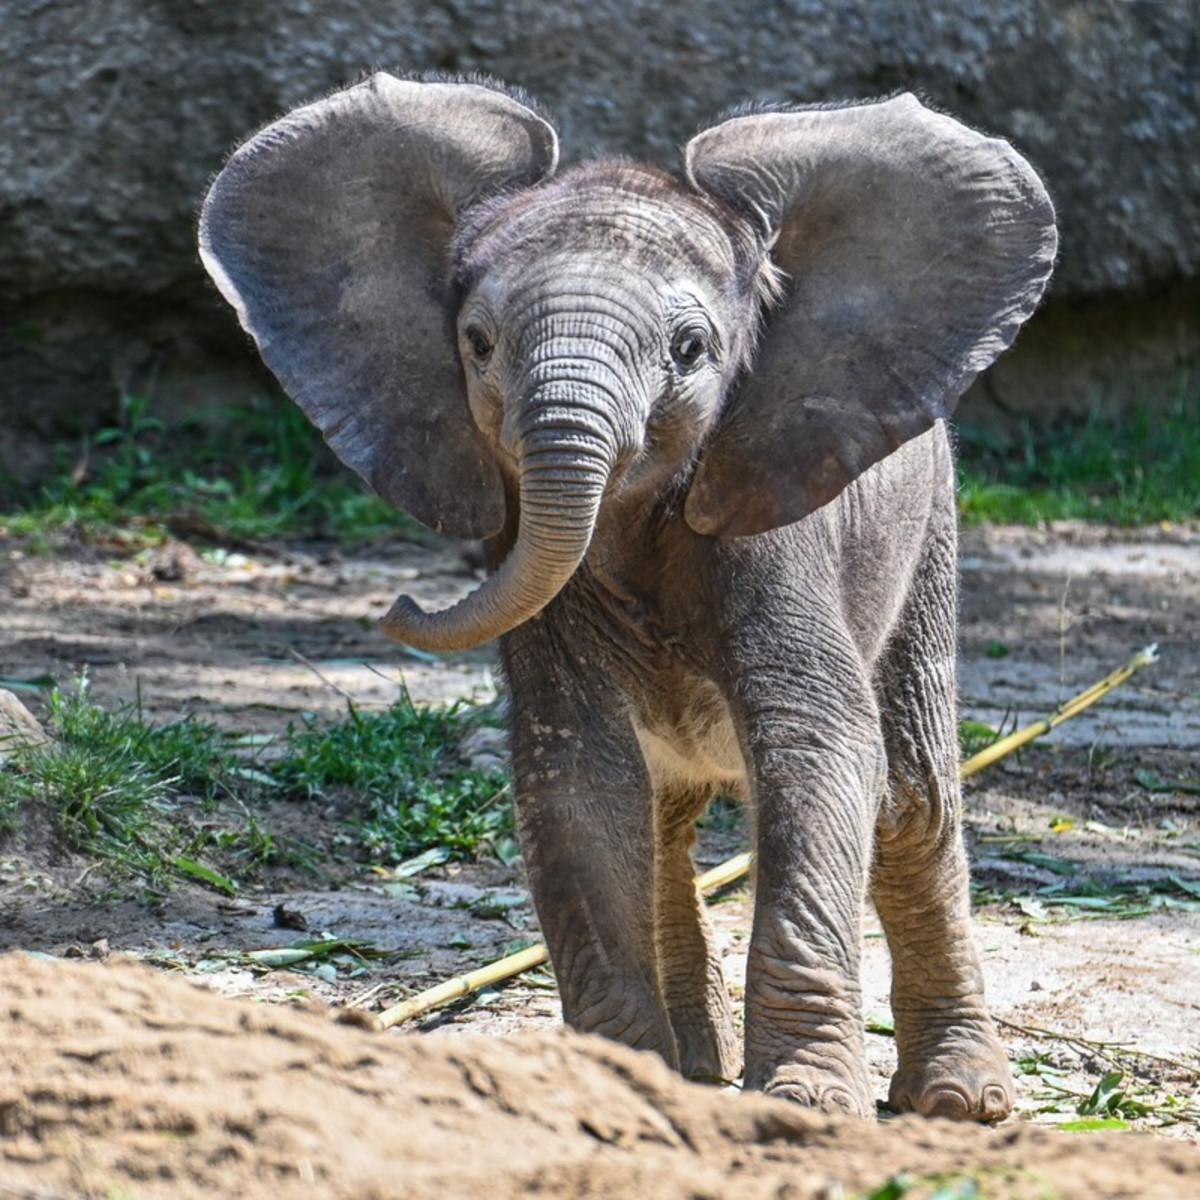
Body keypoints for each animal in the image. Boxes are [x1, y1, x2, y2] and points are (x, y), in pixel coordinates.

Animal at [199, 74, 1056, 1120]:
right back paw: (693, 1064)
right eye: (477, 343)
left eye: (690, 349)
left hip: (930, 531)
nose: (396, 605)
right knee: (665, 819)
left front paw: (803, 1105)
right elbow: (577, 778)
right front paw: (610, 1081)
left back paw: (962, 1101)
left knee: (910, 802)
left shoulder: (772, 513)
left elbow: (818, 750)